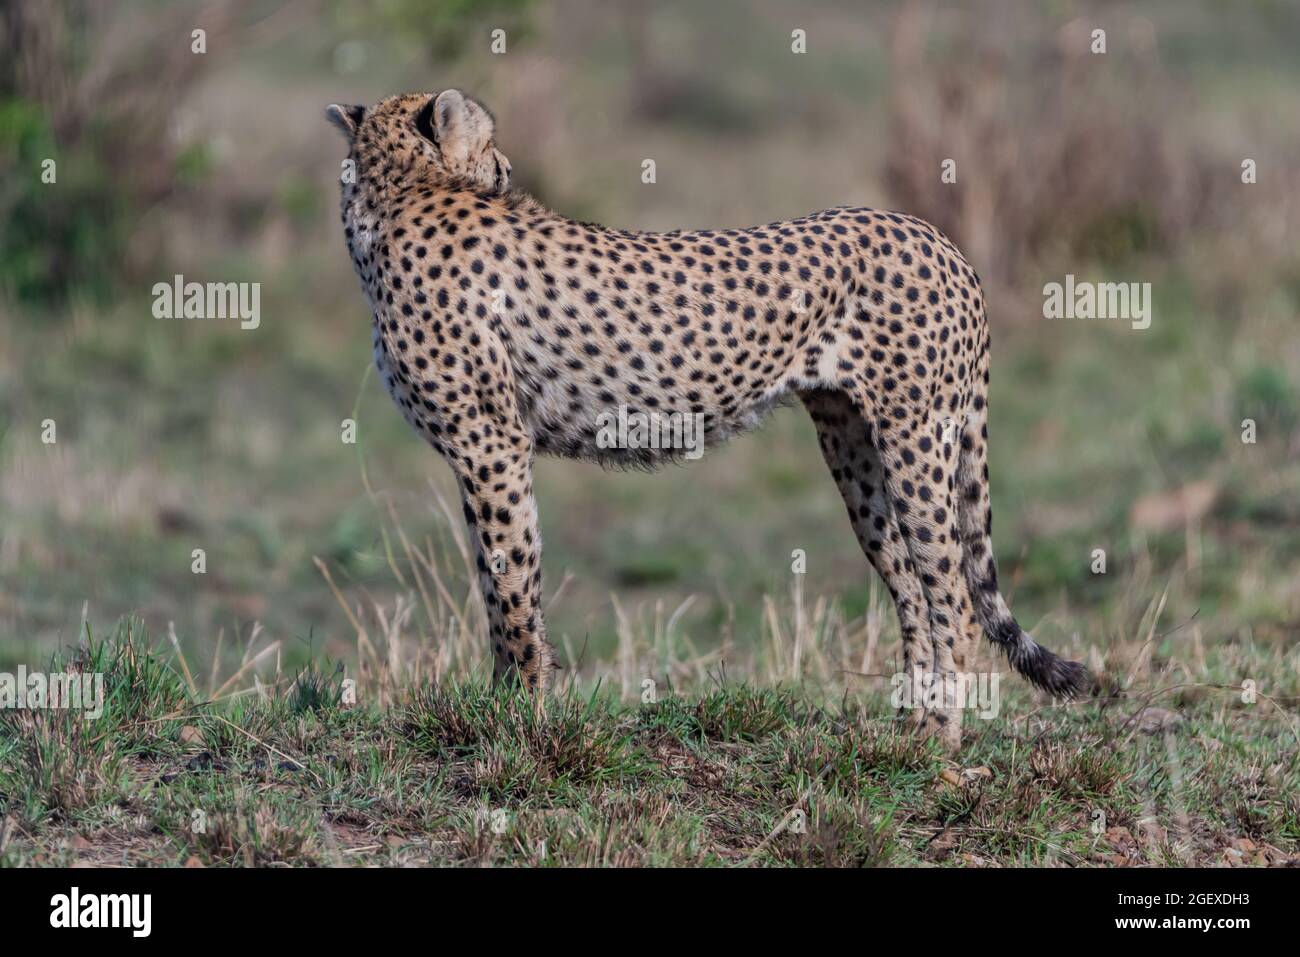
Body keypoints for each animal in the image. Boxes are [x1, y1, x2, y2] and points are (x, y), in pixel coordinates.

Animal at [326, 89, 1095, 749]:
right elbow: (506, 580)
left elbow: (510, 581)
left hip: (916, 438)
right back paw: (908, 727)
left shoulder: (491, 442)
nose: (508, 166)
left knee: (953, 597)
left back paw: (940, 740)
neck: (399, 195)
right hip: (855, 450)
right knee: (909, 586)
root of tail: (936, 236)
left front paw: (516, 717)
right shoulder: (488, 447)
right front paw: (512, 704)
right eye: (489, 142)